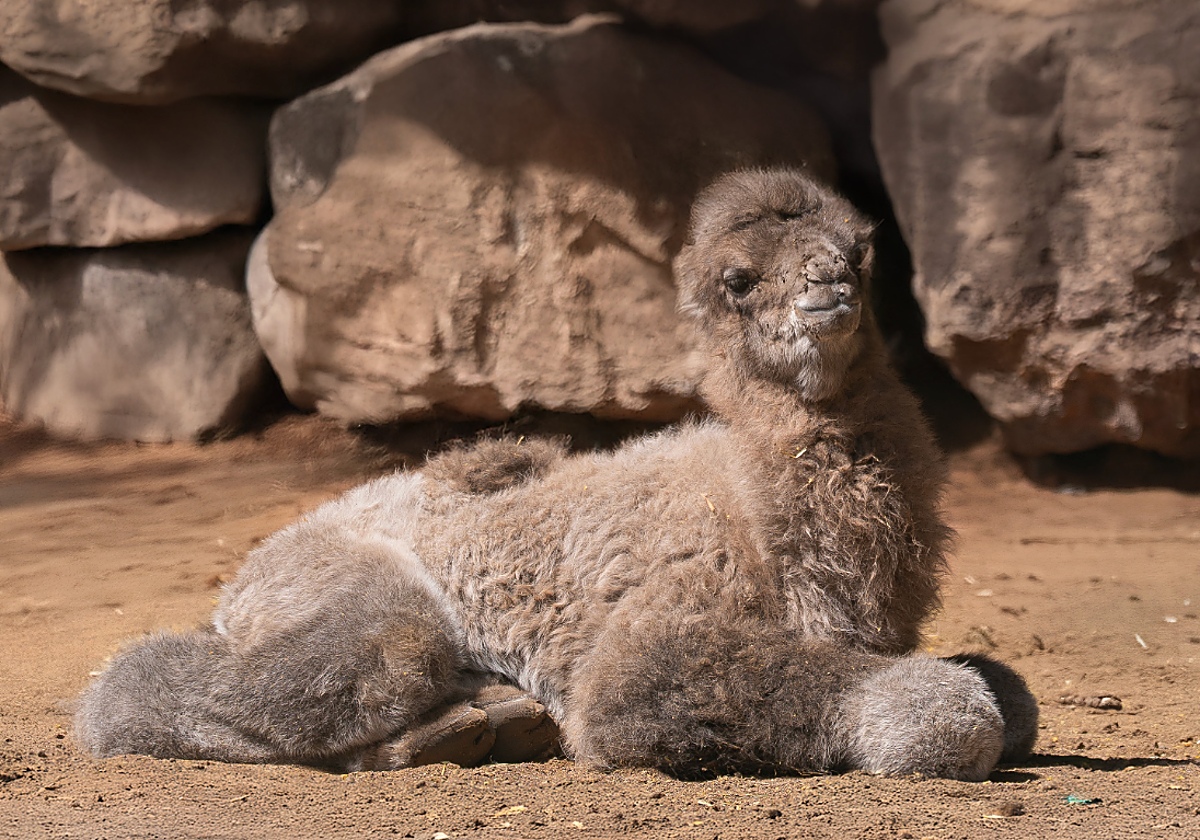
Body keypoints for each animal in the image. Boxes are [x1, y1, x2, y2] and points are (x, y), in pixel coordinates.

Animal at [76, 168, 1037, 780]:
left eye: (860, 249)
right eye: (738, 279)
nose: (828, 287)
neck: (762, 516)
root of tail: (246, 574)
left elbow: (1015, 694)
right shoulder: (648, 647)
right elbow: (956, 713)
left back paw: (486, 723)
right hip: (341, 590)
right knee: (184, 686)